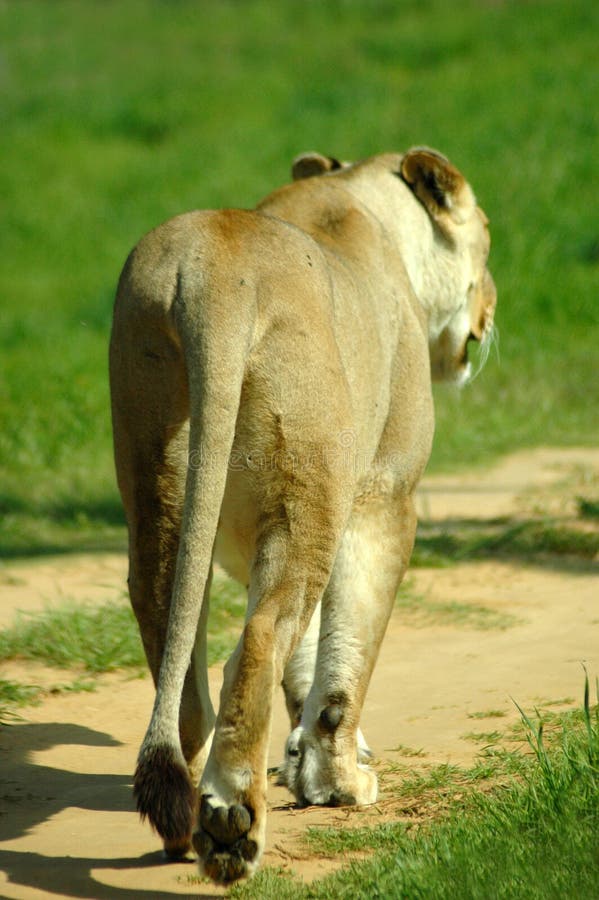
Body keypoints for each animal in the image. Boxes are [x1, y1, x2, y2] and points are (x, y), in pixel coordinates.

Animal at [109, 146, 496, 883]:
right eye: (486, 240)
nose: (491, 306)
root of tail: (213, 277)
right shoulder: (382, 497)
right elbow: (344, 659)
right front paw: (339, 782)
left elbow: (311, 657)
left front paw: (303, 766)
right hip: (304, 494)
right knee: (258, 641)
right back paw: (230, 821)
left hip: (157, 478)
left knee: (170, 632)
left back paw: (186, 821)